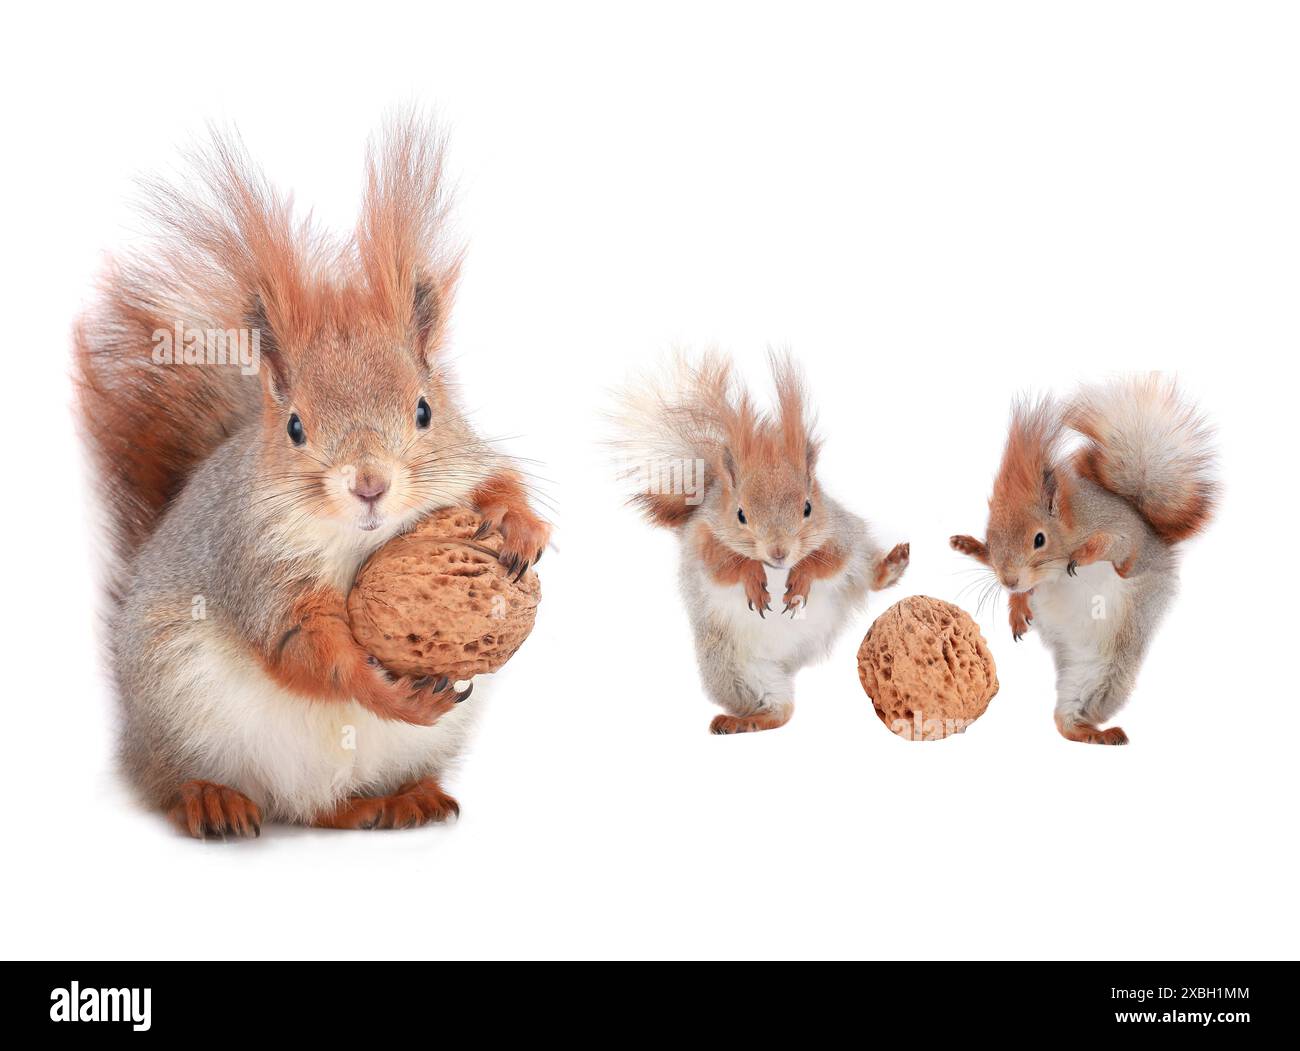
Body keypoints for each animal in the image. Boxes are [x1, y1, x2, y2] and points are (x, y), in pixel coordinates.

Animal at [74, 117, 550, 838]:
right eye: (296, 426)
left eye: (424, 409)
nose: (369, 484)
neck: (358, 538)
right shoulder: (261, 567)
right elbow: (308, 647)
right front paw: (389, 691)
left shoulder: (462, 463)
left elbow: (497, 483)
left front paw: (519, 525)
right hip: (176, 712)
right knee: (171, 784)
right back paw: (211, 799)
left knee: (336, 810)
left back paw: (402, 798)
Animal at [613, 352, 910, 733]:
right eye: (740, 514)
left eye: (808, 507)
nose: (779, 553)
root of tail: (790, 660)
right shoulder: (702, 543)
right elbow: (725, 567)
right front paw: (753, 576)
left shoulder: (839, 531)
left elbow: (829, 560)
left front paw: (801, 578)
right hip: (735, 670)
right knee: (779, 710)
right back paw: (740, 722)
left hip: (857, 555)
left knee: (868, 576)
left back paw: (892, 565)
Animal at [949, 375, 1218, 745]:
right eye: (990, 537)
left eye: (1039, 539)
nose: (1009, 580)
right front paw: (1006, 591)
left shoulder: (1122, 536)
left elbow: (1117, 549)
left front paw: (1082, 555)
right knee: (1064, 721)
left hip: (1106, 672)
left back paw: (1105, 735)